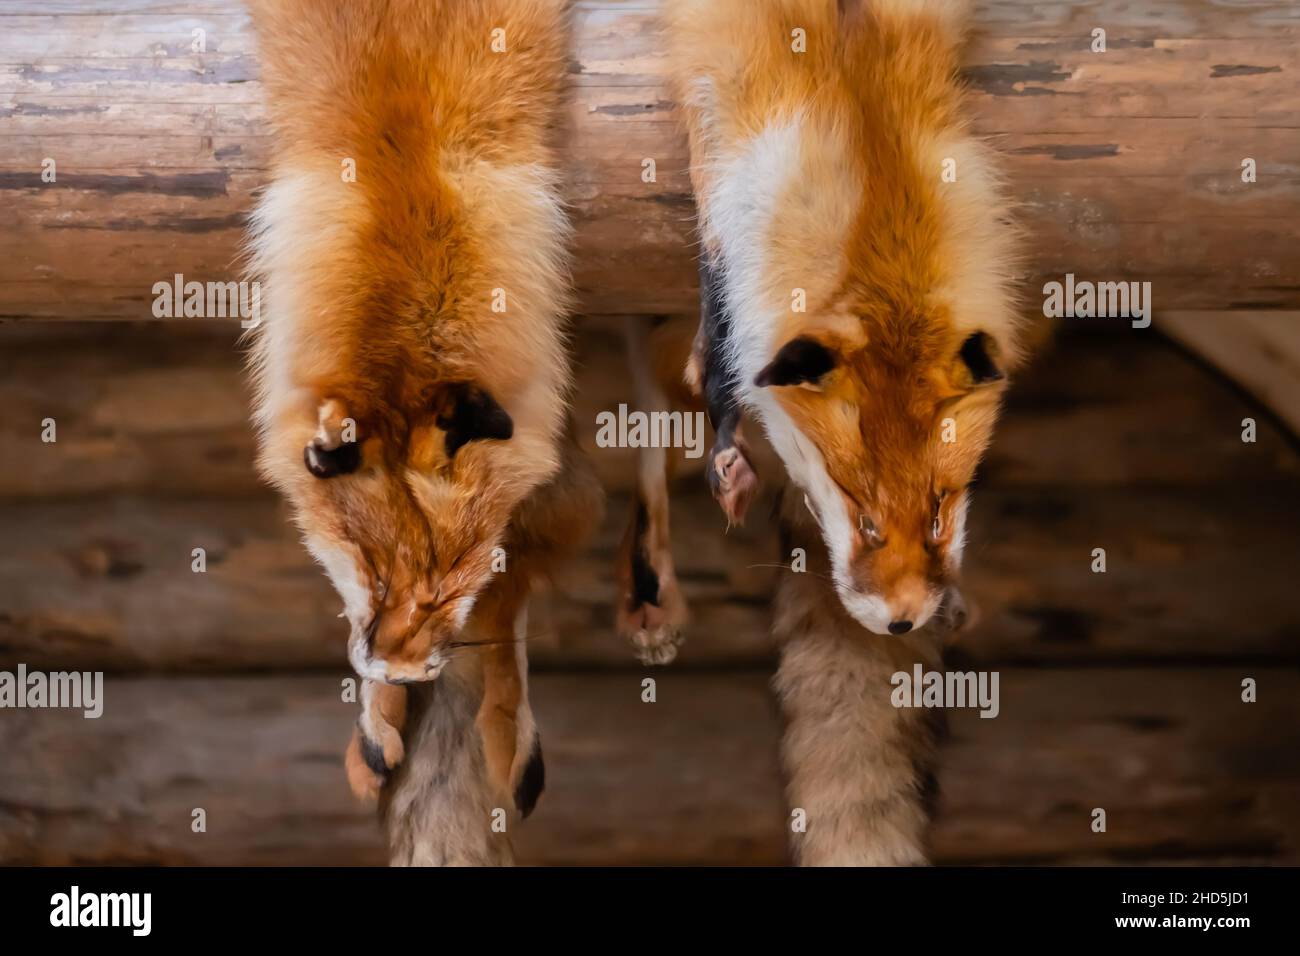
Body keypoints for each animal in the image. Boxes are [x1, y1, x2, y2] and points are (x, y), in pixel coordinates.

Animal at [647, 0, 1023, 862]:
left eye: (940, 511)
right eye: (863, 514)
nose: (906, 619)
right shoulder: (721, 111)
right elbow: (719, 303)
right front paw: (724, 433)